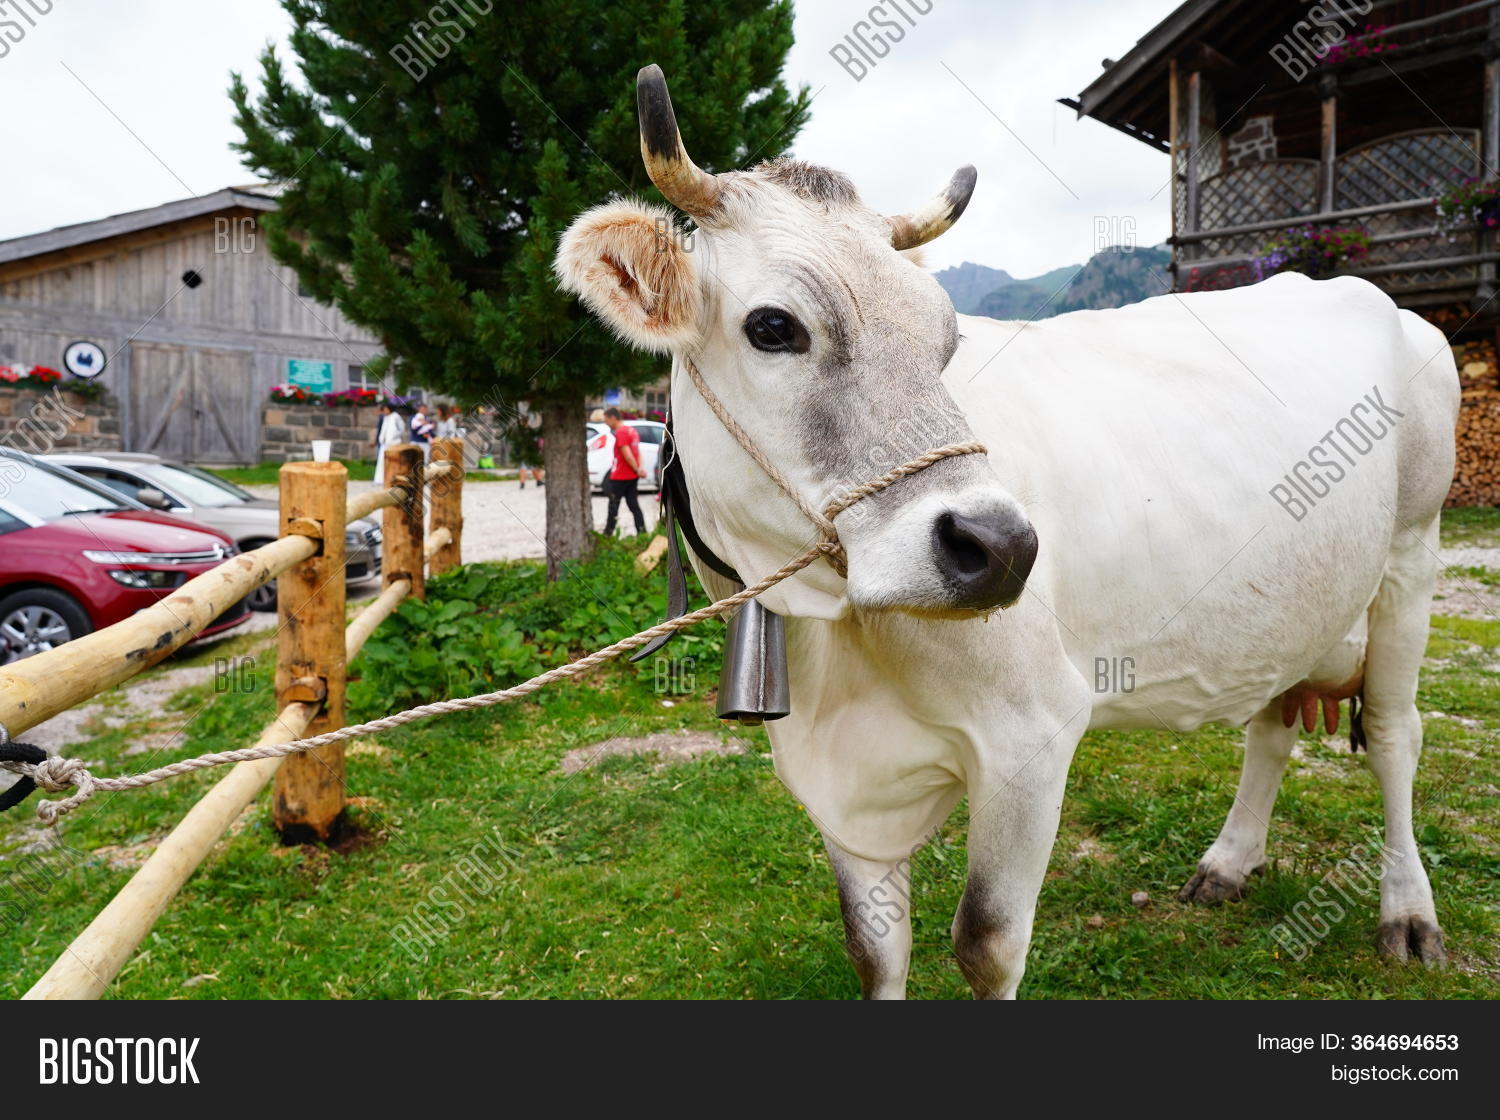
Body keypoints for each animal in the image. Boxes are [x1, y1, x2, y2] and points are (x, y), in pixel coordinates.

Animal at [554, 65, 1459, 998]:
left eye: (947, 341)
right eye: (773, 326)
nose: (1000, 549)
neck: (834, 650)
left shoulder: (1033, 731)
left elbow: (986, 944)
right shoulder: (843, 783)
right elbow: (874, 947)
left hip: (1411, 555)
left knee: (1396, 737)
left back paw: (1408, 913)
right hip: (1294, 608)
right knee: (1272, 723)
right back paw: (1230, 862)